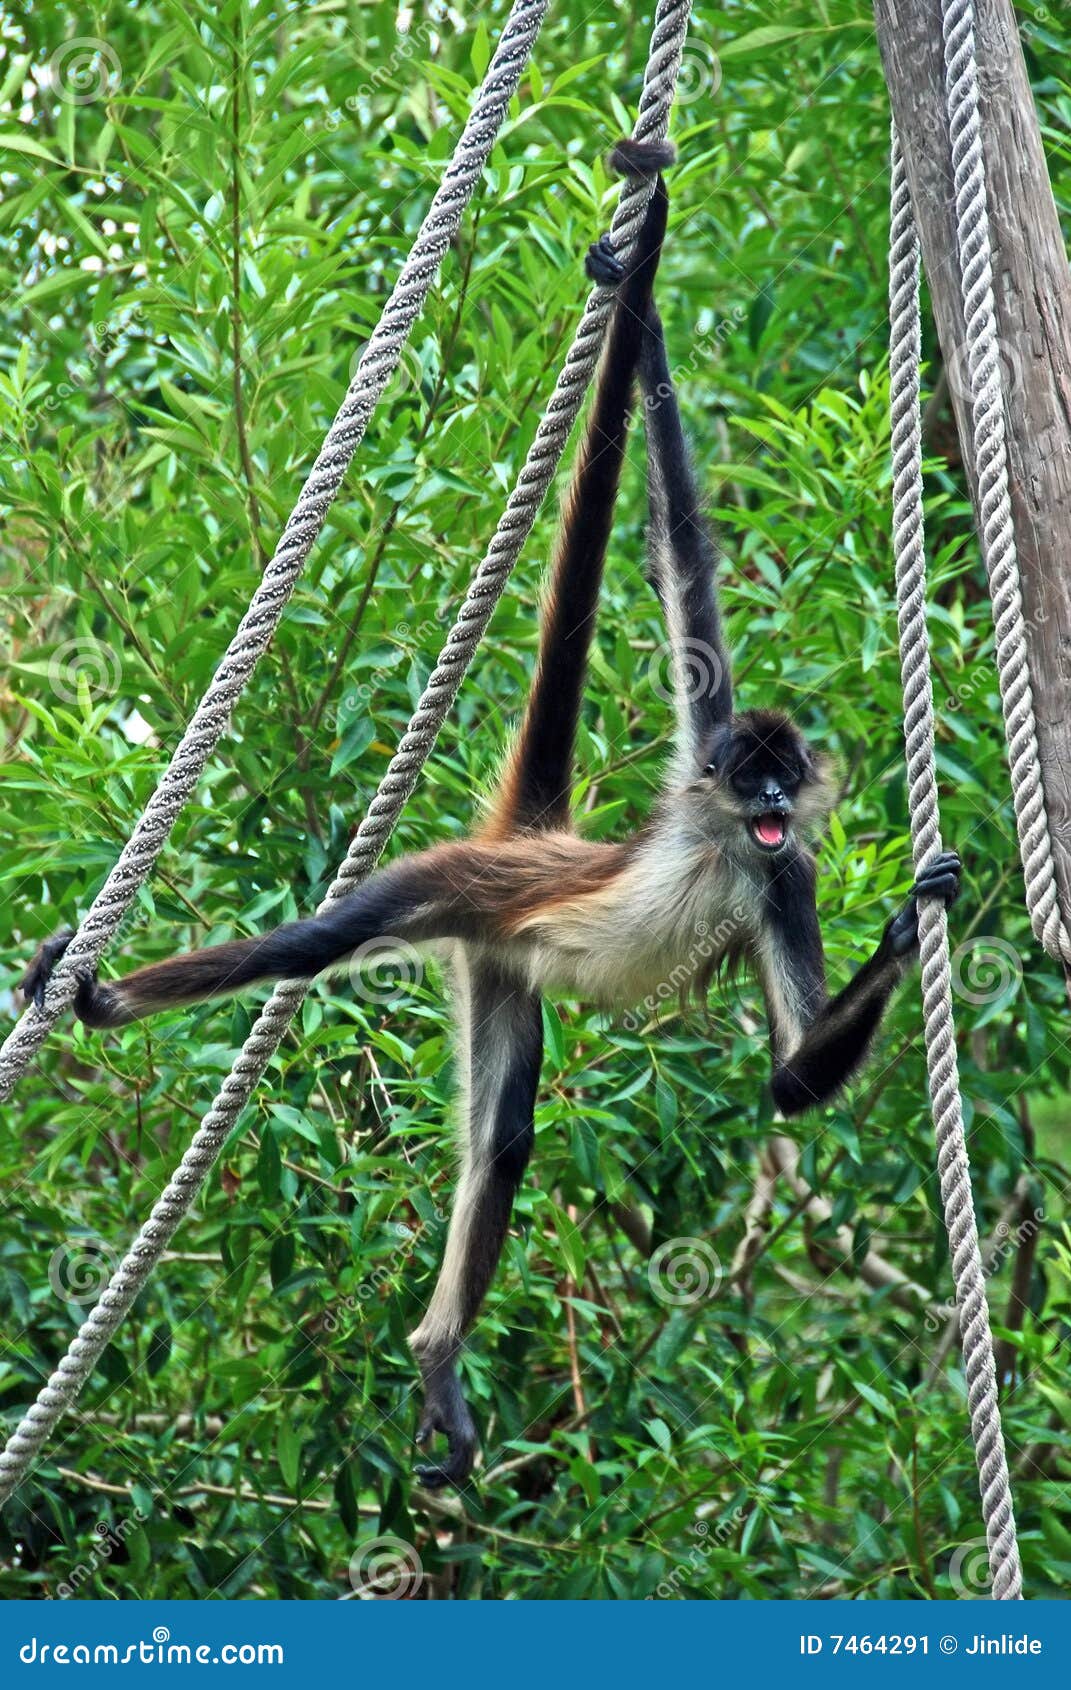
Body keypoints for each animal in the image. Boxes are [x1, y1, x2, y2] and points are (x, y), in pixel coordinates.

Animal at [20, 142, 960, 1488]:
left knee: (506, 1135)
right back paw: (96, 998)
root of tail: (531, 844)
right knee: (314, 943)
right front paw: (644, 293)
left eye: (788, 782)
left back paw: (435, 1354)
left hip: (499, 961)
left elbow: (787, 1084)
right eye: (754, 777)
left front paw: (912, 922)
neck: (728, 850)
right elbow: (682, 550)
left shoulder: (785, 879)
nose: (779, 804)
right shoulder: (714, 777)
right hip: (449, 884)